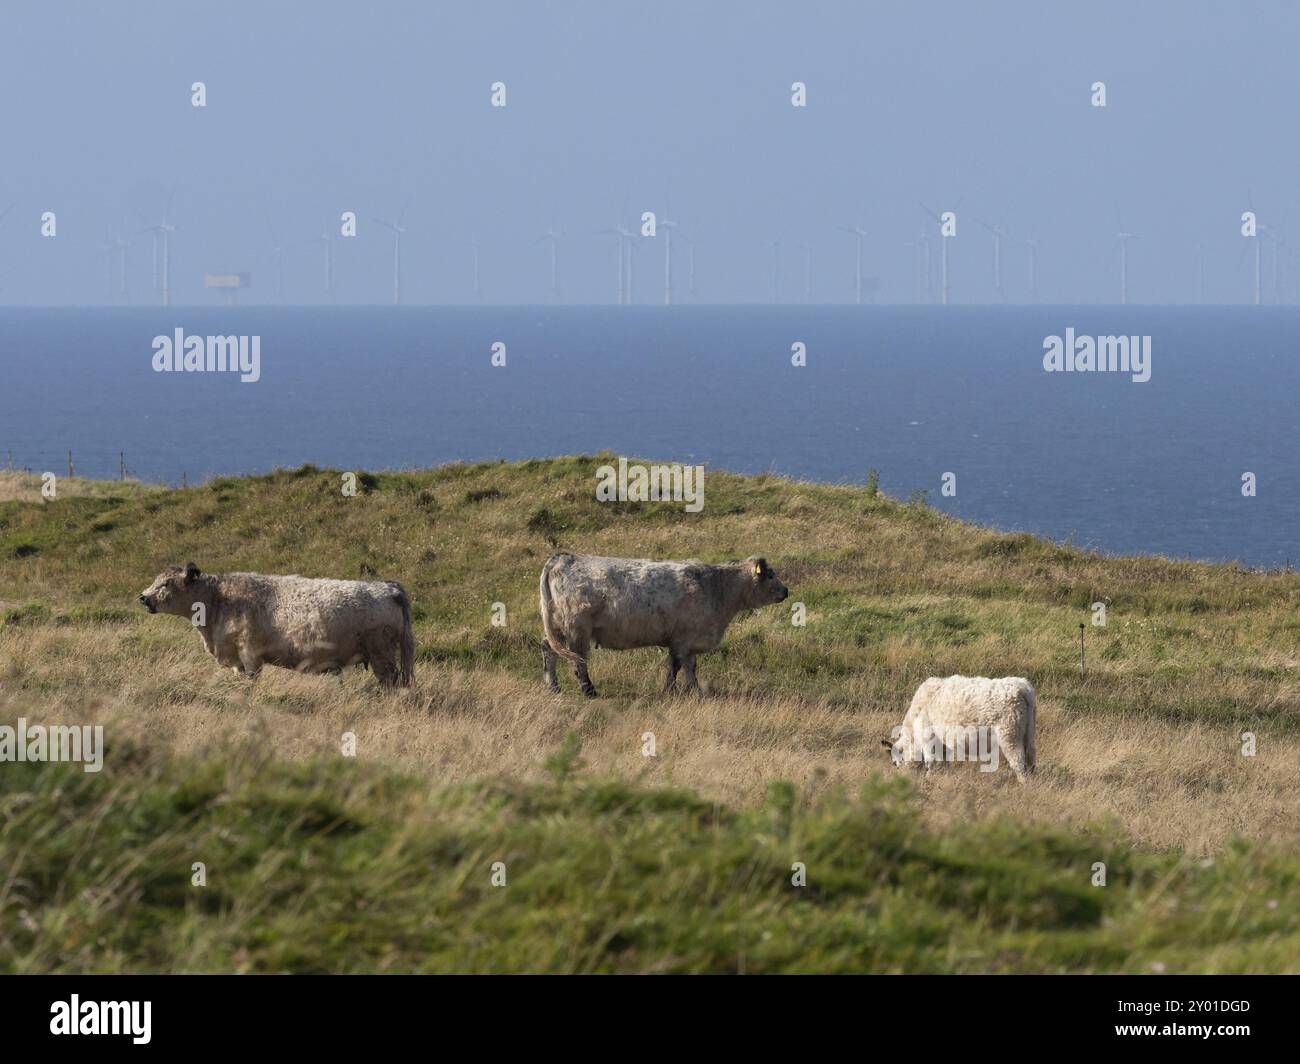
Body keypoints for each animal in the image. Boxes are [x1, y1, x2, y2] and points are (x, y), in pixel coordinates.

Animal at [138, 563, 414, 687]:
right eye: (156, 580)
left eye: (166, 584)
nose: (143, 597)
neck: (218, 600)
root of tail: (388, 588)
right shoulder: (237, 659)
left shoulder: (249, 654)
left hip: (382, 653)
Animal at [538, 552, 789, 696]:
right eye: (770, 575)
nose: (786, 591)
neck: (717, 589)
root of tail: (562, 557)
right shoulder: (681, 639)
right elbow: (675, 666)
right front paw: (669, 690)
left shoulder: (691, 641)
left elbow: (691, 667)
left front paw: (695, 691)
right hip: (576, 628)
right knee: (578, 661)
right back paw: (589, 690)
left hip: (556, 626)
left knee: (547, 649)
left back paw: (553, 687)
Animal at [881, 675, 1037, 782]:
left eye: (895, 763)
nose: (901, 778)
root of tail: (1020, 686)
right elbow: (943, 763)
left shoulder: (927, 736)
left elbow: (931, 762)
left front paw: (929, 779)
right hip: (1028, 736)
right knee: (1031, 762)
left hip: (1009, 736)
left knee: (1019, 763)